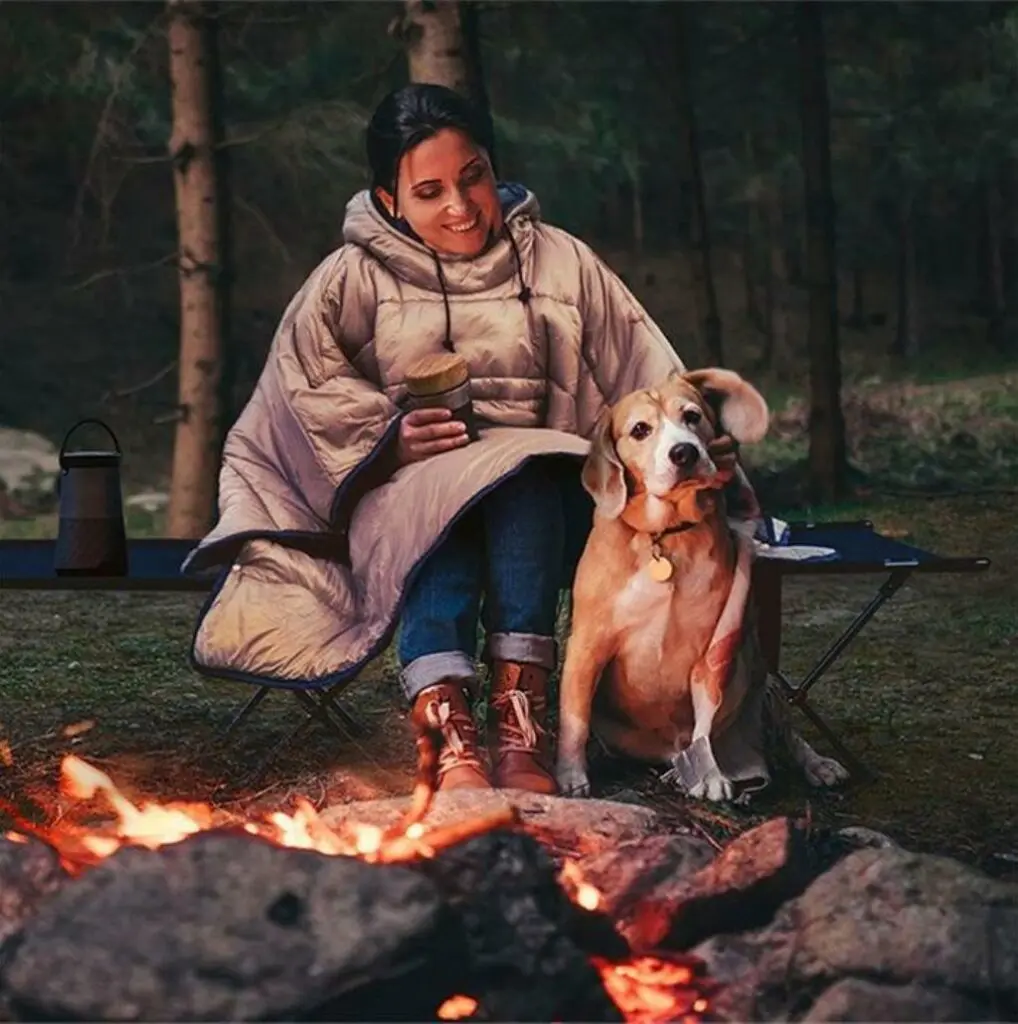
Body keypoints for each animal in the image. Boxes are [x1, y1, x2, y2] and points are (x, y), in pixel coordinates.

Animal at [553, 372, 843, 802]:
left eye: (692, 416)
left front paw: (710, 776)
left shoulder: (711, 651)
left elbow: (705, 722)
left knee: (788, 736)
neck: (665, 537)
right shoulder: (588, 644)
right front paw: (571, 776)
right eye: (640, 430)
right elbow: (574, 717)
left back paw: (817, 765)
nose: (683, 453)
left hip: (765, 679)